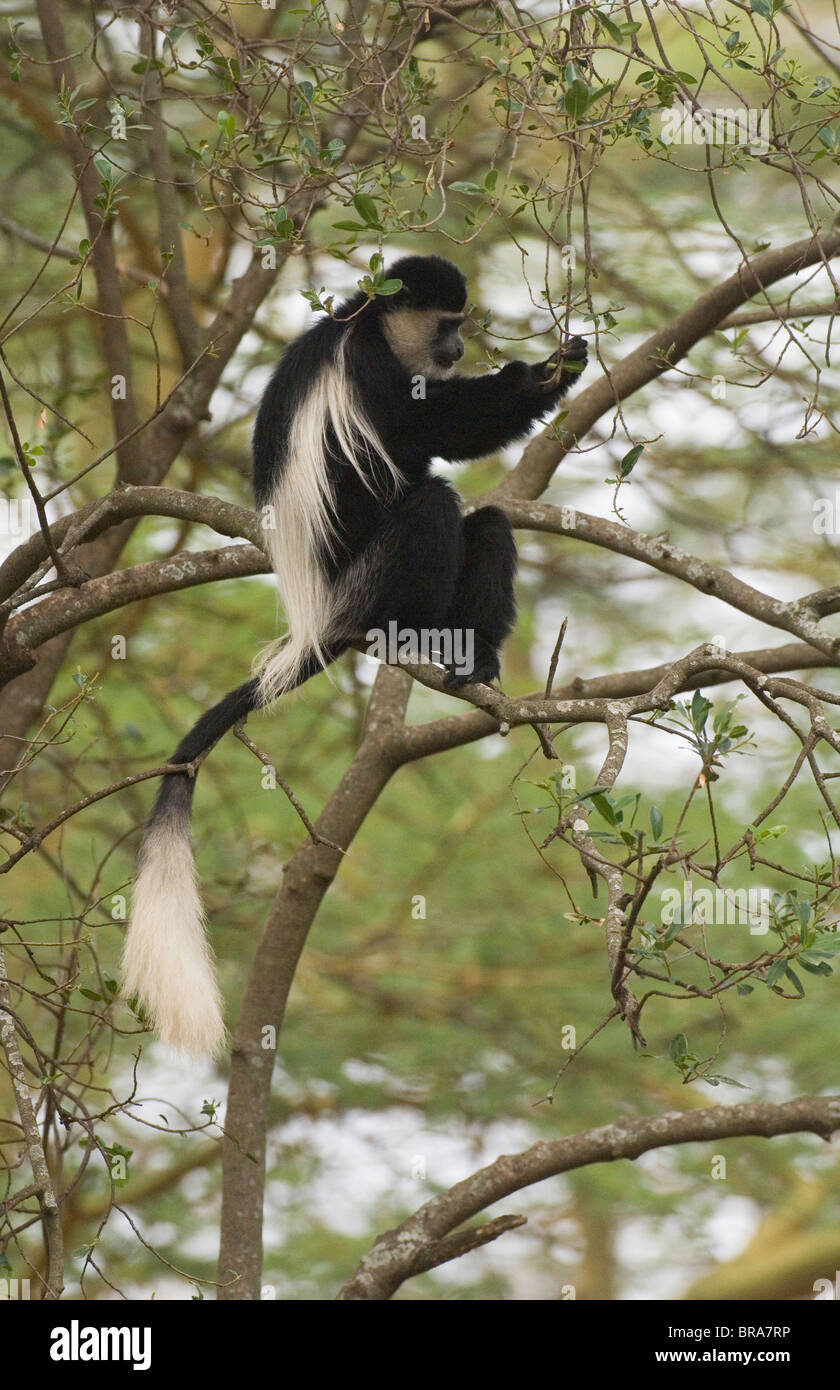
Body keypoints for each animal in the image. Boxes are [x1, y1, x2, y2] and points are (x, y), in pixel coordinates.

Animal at [121, 253, 588, 1055]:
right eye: (447, 324)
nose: (457, 351)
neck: (362, 323)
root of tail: (322, 614)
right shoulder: (368, 373)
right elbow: (428, 429)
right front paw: (544, 374)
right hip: (370, 574)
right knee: (433, 503)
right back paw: (409, 629)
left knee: (489, 525)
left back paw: (472, 659)